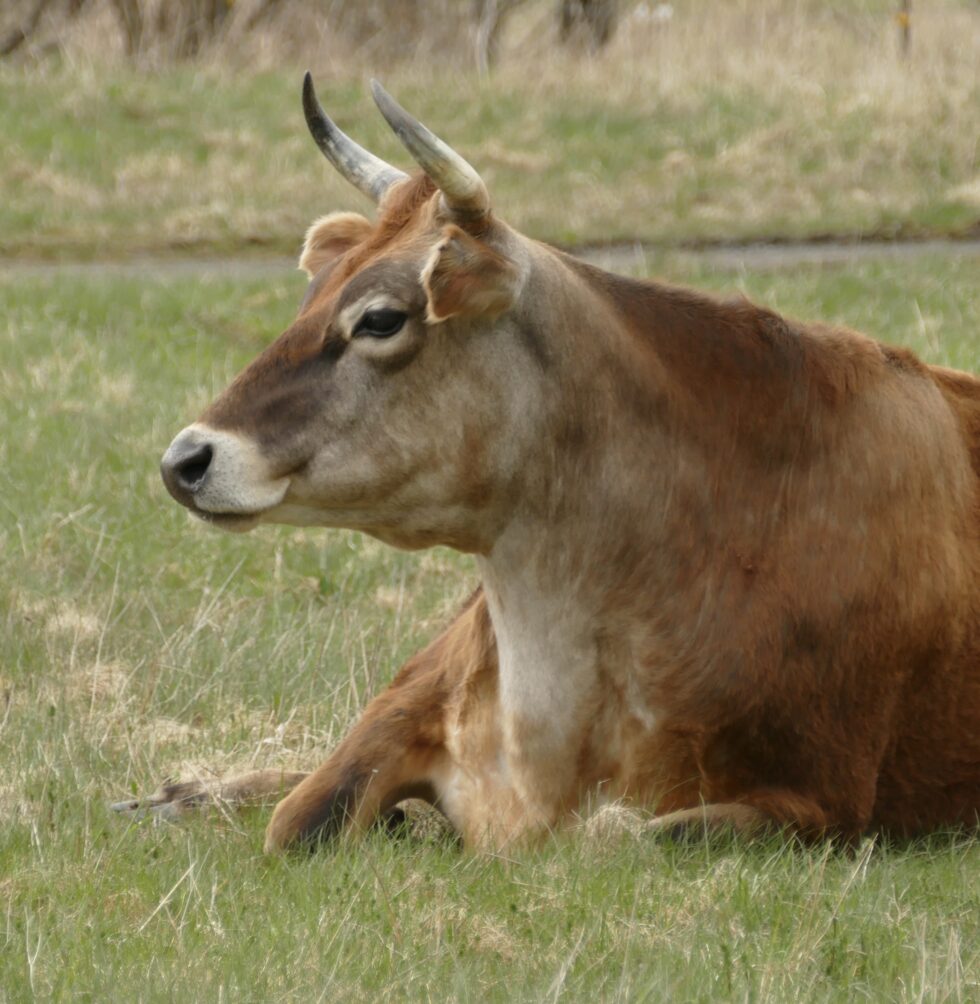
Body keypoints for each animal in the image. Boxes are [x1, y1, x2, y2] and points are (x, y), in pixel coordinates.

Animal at [125, 74, 980, 854]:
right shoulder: (411, 701)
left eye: (381, 317)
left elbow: (616, 836)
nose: (186, 460)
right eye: (310, 295)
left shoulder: (821, 798)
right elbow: (300, 815)